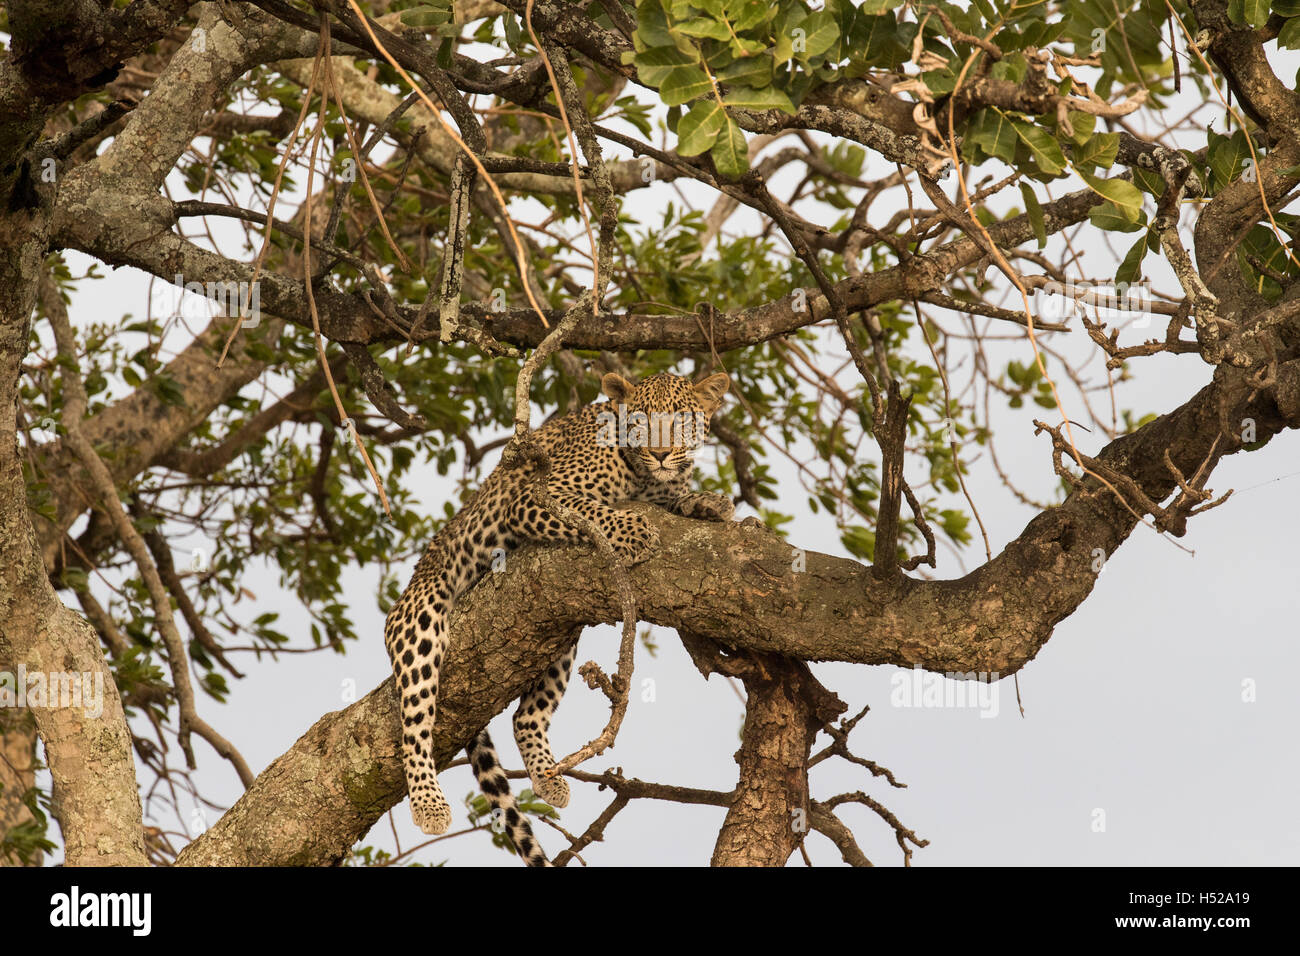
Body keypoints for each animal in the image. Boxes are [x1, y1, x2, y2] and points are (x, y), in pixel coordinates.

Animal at [384, 370, 734, 866]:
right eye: (642, 419)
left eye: (682, 420)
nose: (663, 453)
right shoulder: (535, 498)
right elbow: (591, 511)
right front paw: (636, 532)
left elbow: (679, 499)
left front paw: (708, 502)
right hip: (420, 620)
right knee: (415, 726)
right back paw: (429, 805)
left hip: (556, 636)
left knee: (523, 717)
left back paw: (550, 780)